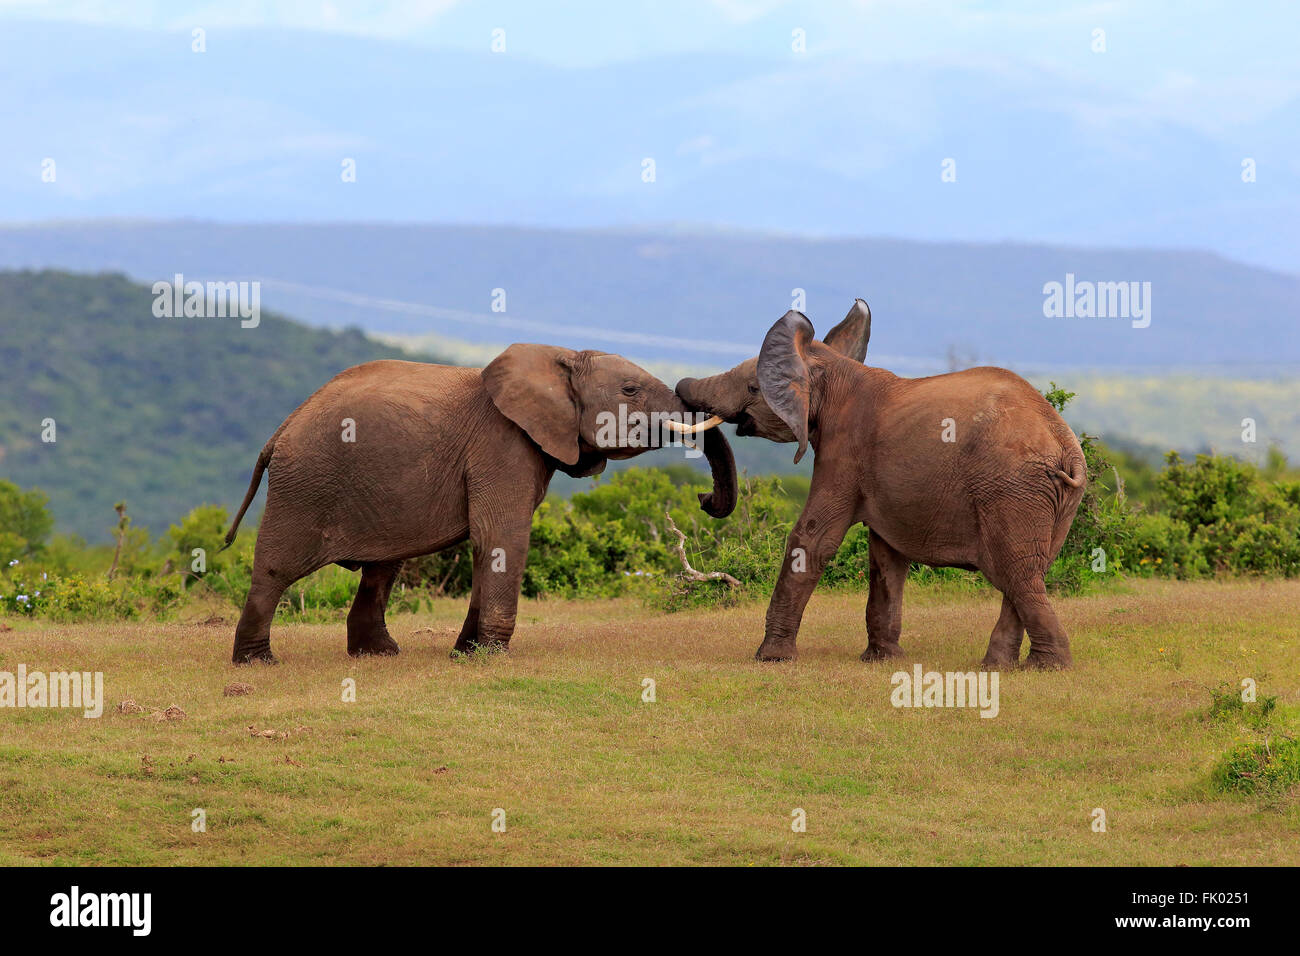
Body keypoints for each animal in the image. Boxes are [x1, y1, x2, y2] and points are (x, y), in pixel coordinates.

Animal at [222, 348, 737, 664]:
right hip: (304, 485)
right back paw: (257, 663)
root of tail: (280, 430)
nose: (704, 499)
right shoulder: (502, 445)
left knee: (382, 567)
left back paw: (380, 654)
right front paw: (492, 656)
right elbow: (502, 538)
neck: (560, 357)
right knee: (276, 568)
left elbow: (486, 544)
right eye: (630, 391)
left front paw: (465, 654)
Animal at [674, 301, 1086, 669]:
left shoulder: (843, 449)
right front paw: (881, 659)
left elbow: (813, 538)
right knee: (1031, 570)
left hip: (1010, 489)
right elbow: (886, 556)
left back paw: (1046, 666)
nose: (703, 497)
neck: (832, 369)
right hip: (1054, 500)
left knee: (1018, 573)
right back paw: (998, 666)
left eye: (753, 387)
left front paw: (771, 658)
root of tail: (1066, 448)